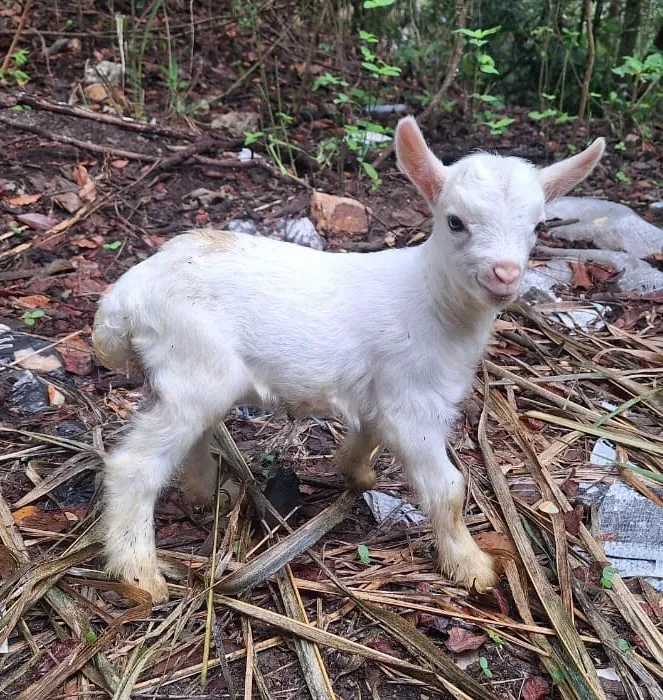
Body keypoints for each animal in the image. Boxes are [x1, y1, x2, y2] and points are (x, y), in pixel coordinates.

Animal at [92, 117, 605, 602]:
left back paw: (212, 492)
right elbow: (449, 490)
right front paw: (471, 565)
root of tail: (122, 300)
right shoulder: (414, 402)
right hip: (192, 361)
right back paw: (139, 572)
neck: (433, 299)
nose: (506, 274)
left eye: (538, 227)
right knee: (135, 465)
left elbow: (368, 434)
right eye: (455, 222)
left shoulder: (383, 391)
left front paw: (356, 472)